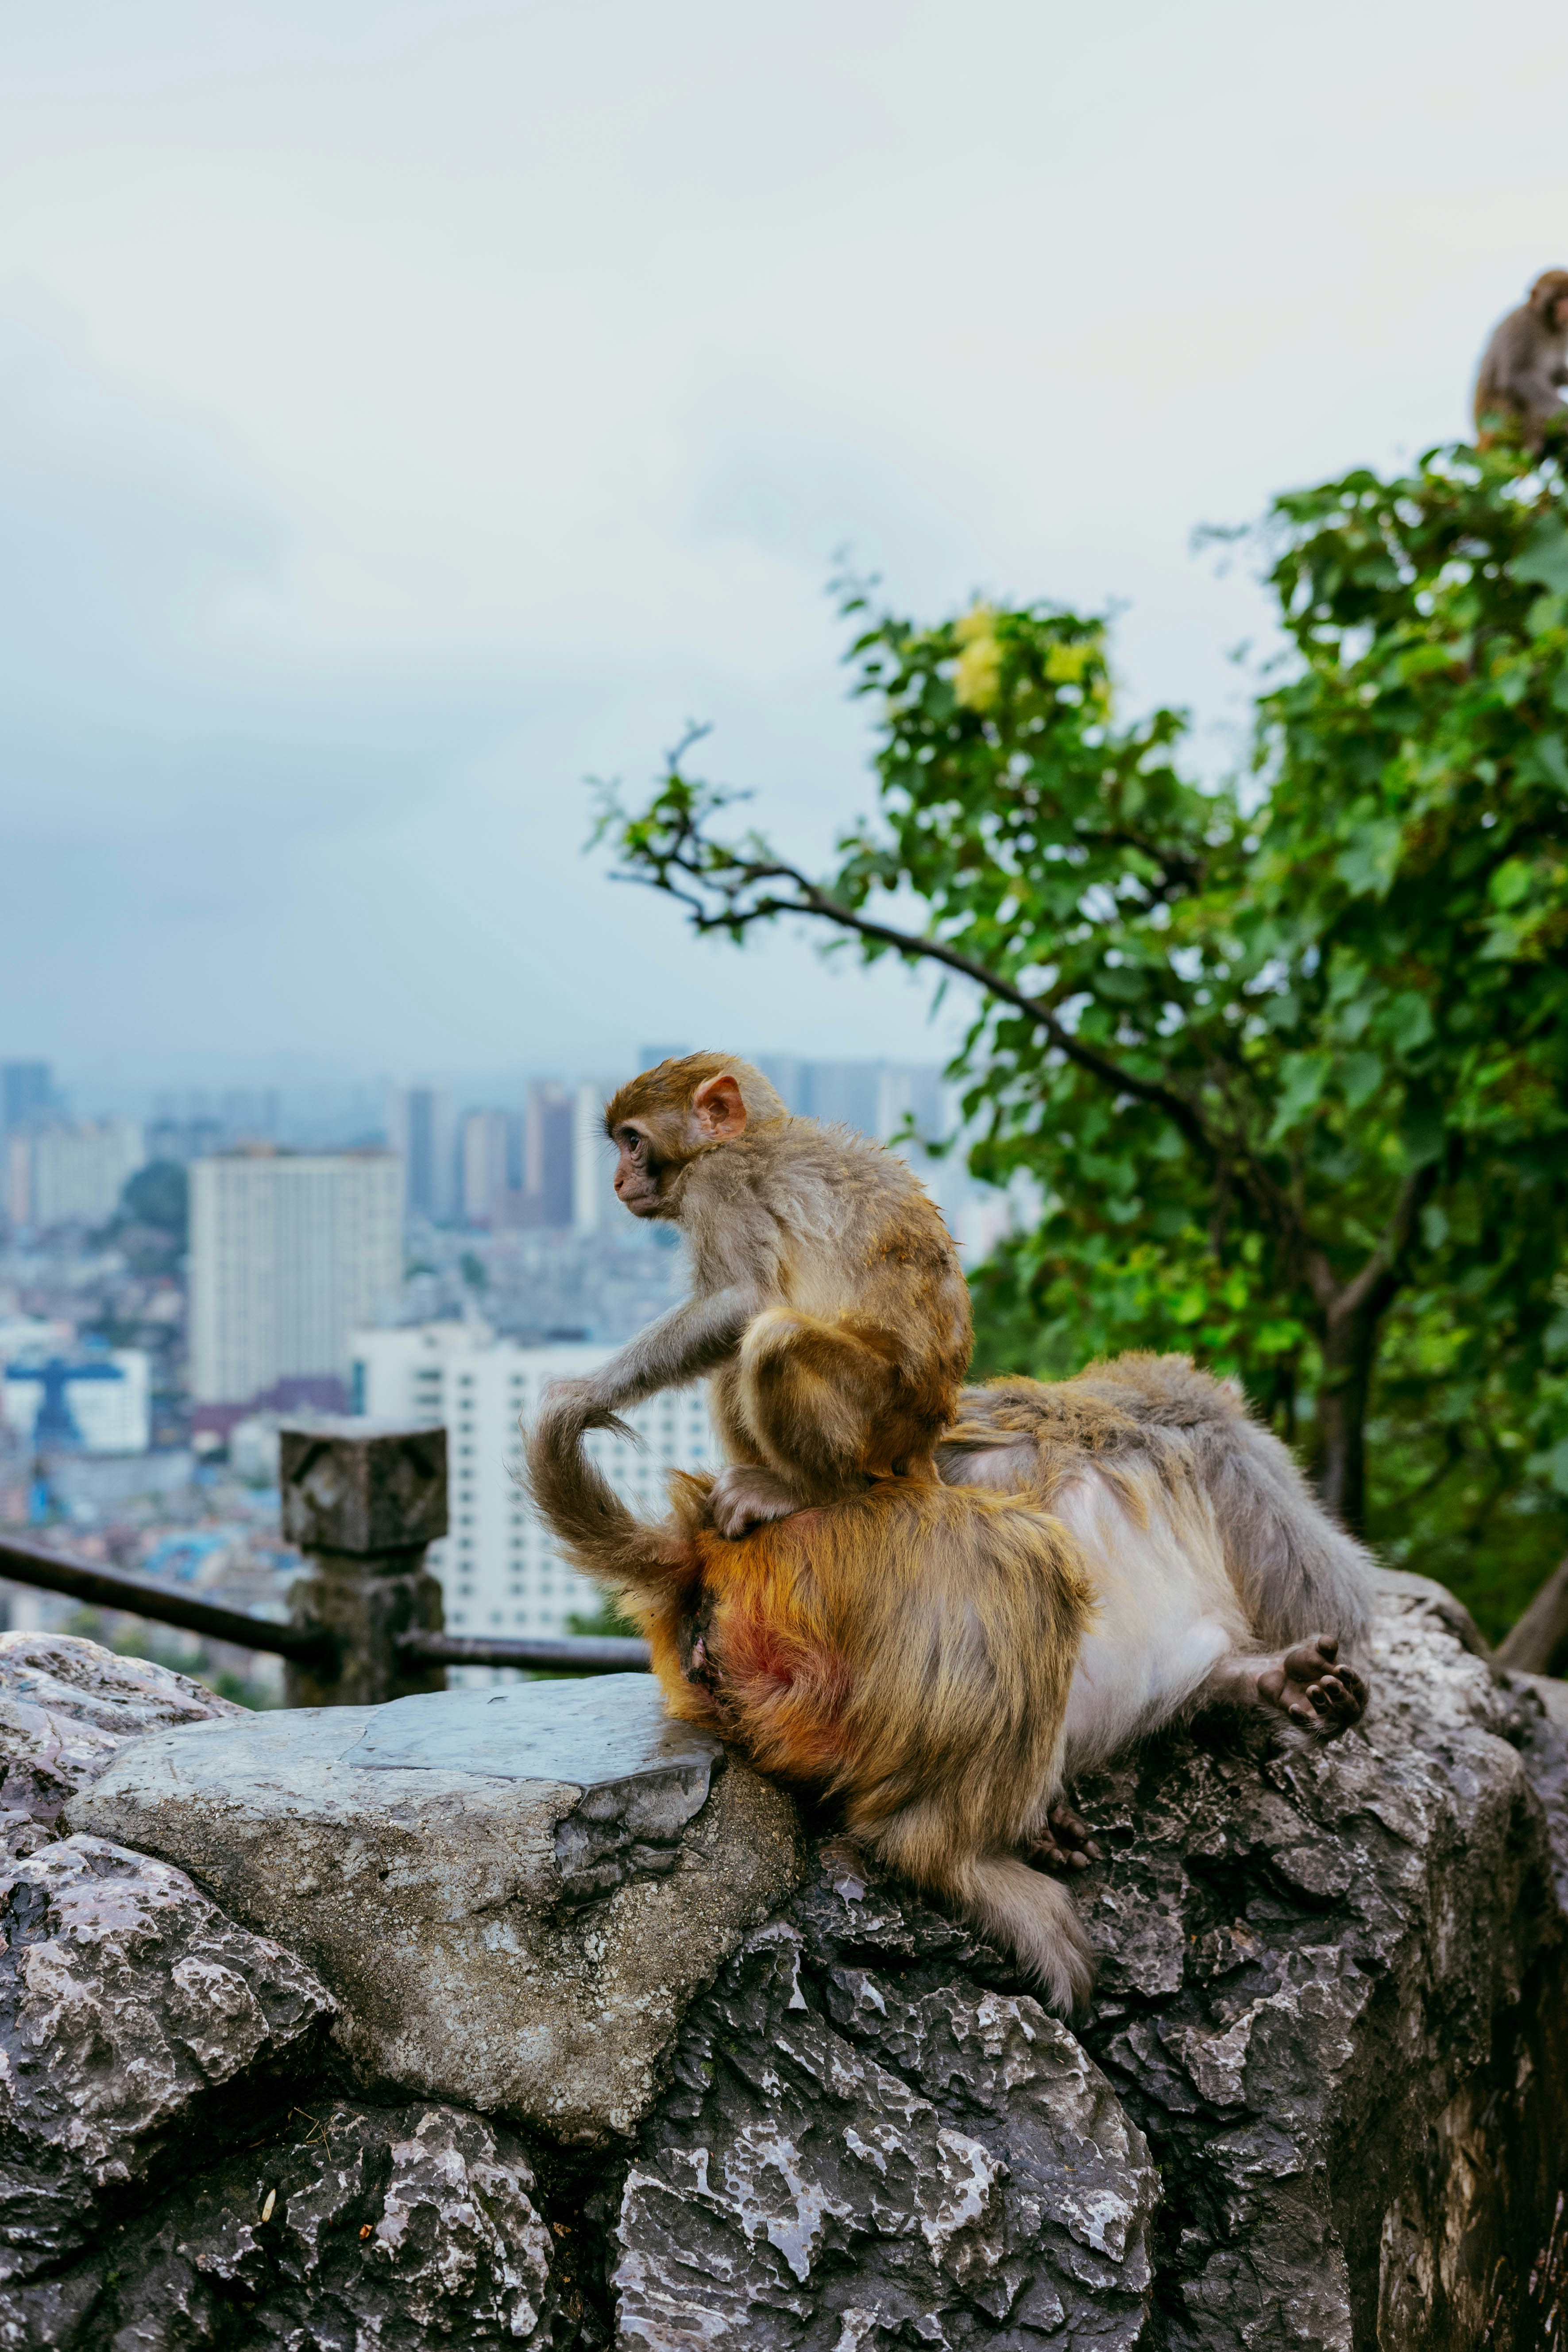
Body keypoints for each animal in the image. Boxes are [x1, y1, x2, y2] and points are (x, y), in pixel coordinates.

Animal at [544, 1052, 973, 1540]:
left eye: (632, 1141)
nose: (617, 1182)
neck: (742, 1136)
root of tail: (924, 1439)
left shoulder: (717, 1186)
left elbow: (746, 1299)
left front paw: (590, 1391)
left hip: (881, 1416)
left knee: (774, 1337)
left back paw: (809, 1492)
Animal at [1473, 270, 1568, 449]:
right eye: (1559, 298)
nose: (1566, 308)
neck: (1550, 327)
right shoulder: (1523, 328)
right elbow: (1517, 376)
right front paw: (1564, 413)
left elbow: (1556, 373)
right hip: (1499, 424)